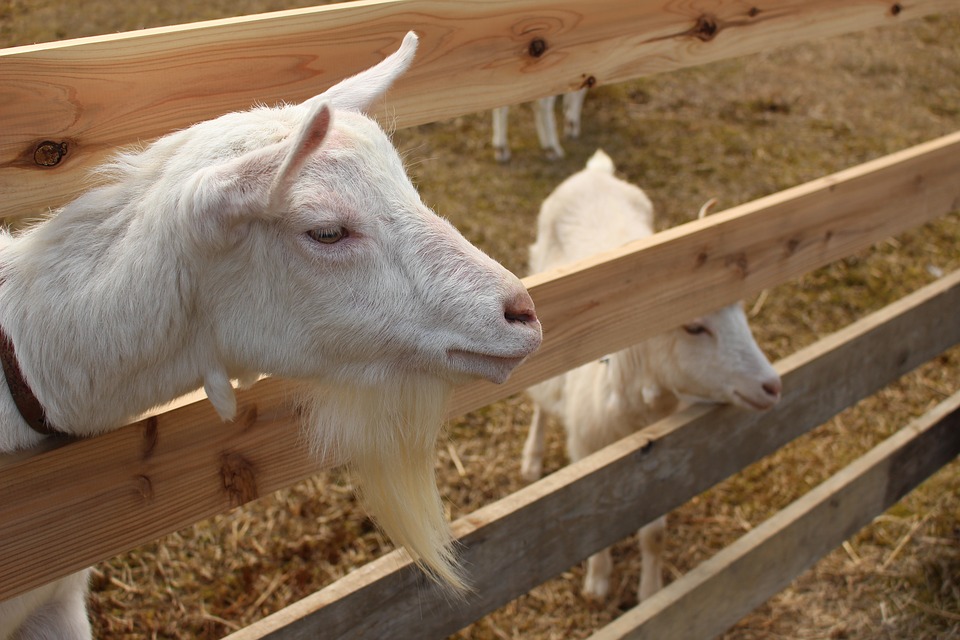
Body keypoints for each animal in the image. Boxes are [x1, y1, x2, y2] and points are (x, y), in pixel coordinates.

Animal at [522, 149, 780, 600]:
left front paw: (650, 591)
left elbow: (654, 535)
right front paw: (598, 583)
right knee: (542, 400)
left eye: (740, 306)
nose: (771, 384)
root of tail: (595, 172)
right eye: (692, 326)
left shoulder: (661, 456)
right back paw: (532, 460)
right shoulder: (586, 448)